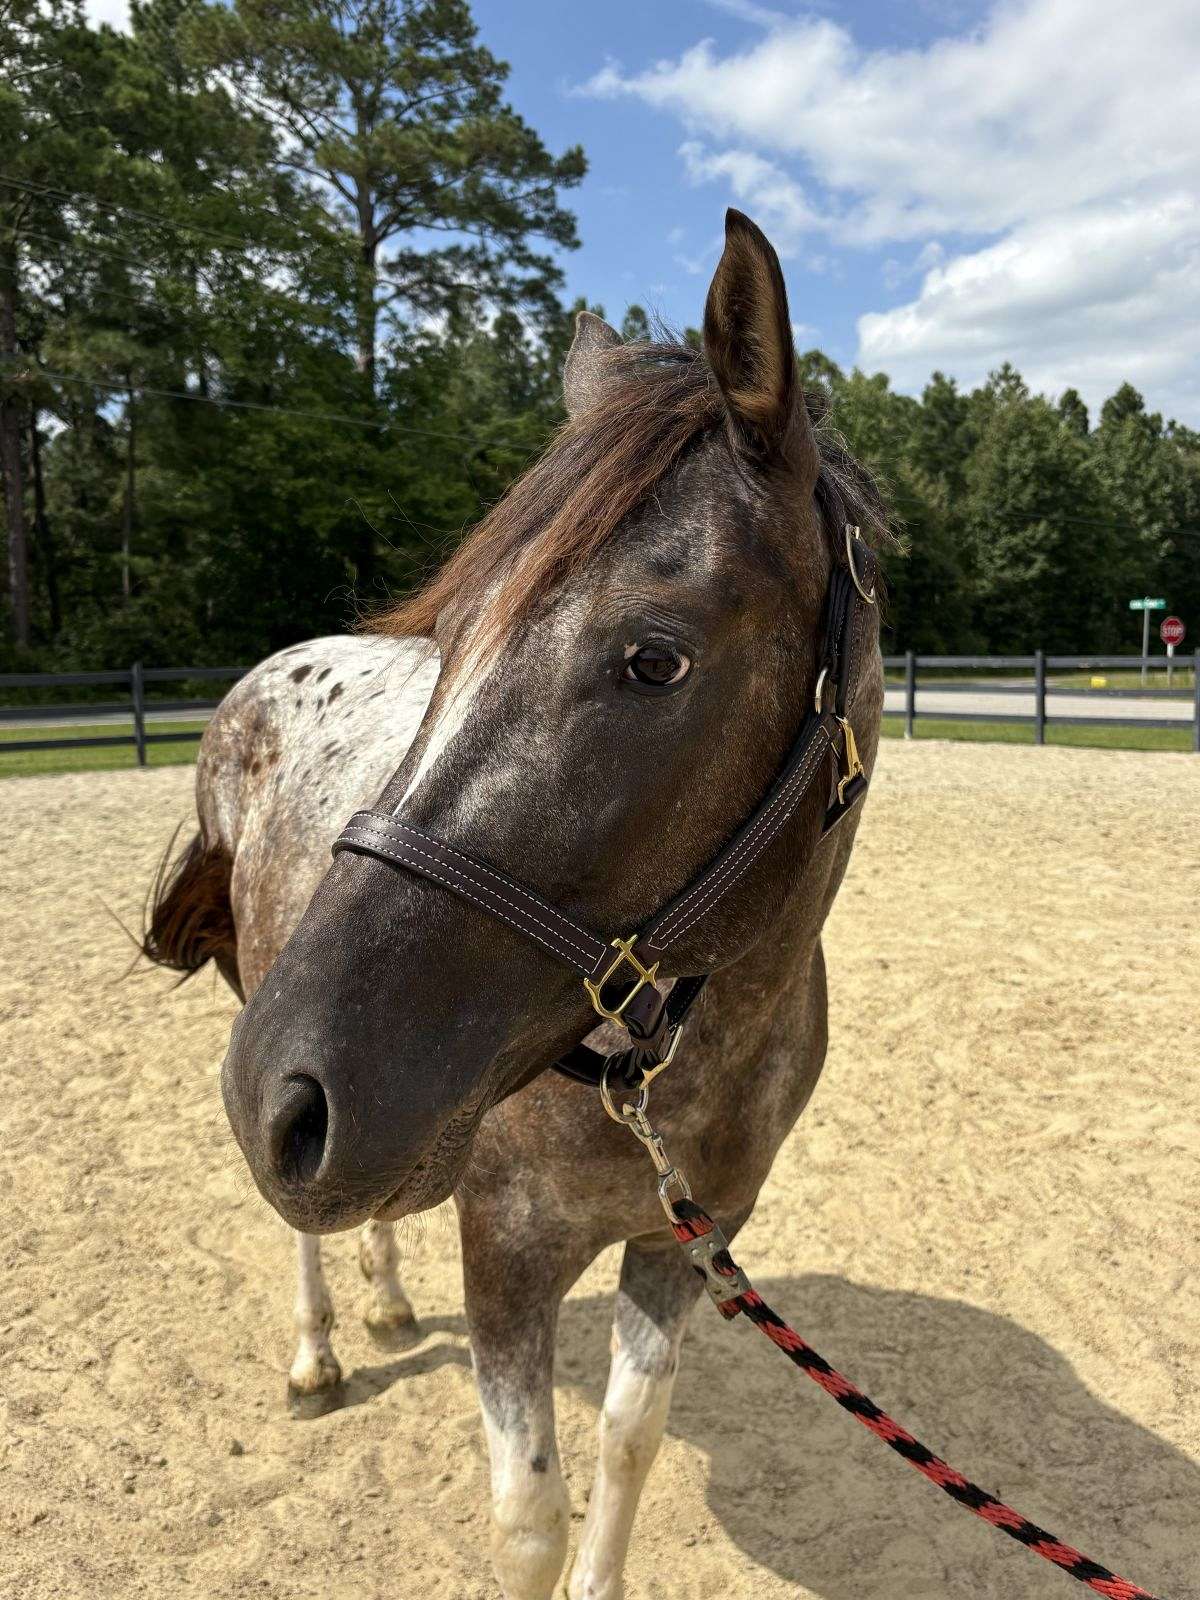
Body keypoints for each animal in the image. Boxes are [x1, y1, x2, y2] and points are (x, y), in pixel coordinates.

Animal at [143, 209, 888, 1600]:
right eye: (454, 636)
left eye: (654, 659)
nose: (283, 1084)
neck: (673, 1060)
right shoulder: (506, 1253)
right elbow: (530, 1516)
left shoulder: (688, 1240)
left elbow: (628, 1448)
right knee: (298, 1228)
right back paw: (319, 1349)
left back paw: (383, 1296)